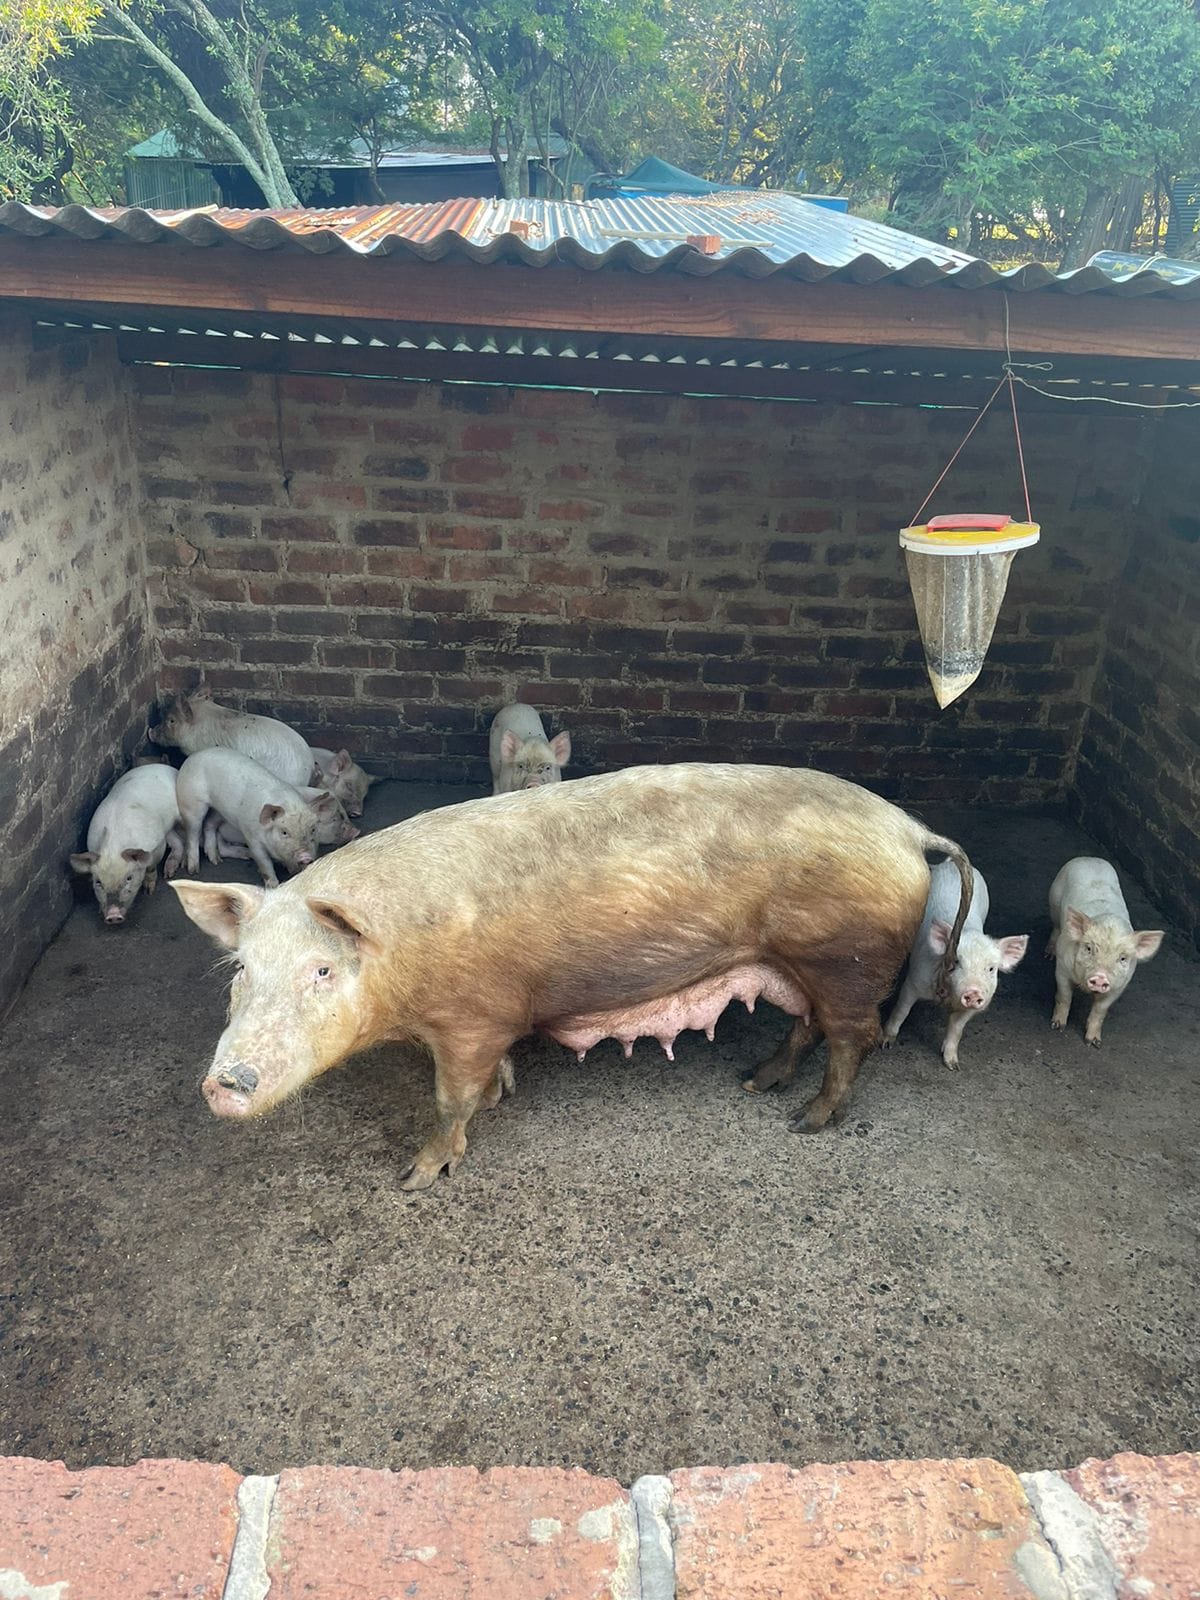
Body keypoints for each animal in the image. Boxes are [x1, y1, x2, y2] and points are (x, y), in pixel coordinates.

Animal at [70, 764, 183, 926]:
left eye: (129, 878)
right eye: (98, 882)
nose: (113, 915)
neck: (113, 846)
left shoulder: (157, 843)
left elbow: (151, 866)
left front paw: (149, 891)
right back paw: (169, 871)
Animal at [170, 763, 974, 1191]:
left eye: (323, 969)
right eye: (242, 969)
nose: (223, 1083)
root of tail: (909, 830)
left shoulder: (472, 1017)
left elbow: (451, 1098)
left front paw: (415, 1176)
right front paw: (501, 1096)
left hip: (846, 958)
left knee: (852, 1039)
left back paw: (804, 1120)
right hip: (799, 964)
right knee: (806, 1027)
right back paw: (755, 1081)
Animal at [176, 748, 338, 889]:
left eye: (313, 829)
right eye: (284, 832)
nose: (305, 856)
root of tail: (192, 757)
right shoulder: (252, 838)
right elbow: (264, 863)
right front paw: (273, 886)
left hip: (220, 811)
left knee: (209, 824)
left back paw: (216, 860)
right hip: (191, 803)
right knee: (193, 833)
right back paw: (194, 870)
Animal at [882, 861, 1027, 1069]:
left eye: (991, 968)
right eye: (956, 962)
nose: (973, 992)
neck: (948, 998)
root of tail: (949, 864)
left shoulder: (976, 1007)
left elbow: (957, 1029)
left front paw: (952, 1064)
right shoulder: (914, 982)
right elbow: (901, 1011)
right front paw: (886, 1043)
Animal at [1047, 857, 1164, 1046]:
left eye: (1122, 958)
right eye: (1089, 948)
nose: (1101, 977)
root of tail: (1090, 858)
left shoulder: (1119, 987)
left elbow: (1100, 1011)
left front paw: (1093, 1043)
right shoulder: (1062, 969)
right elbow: (1064, 996)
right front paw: (1057, 1026)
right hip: (1054, 899)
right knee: (1056, 925)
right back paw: (1049, 953)